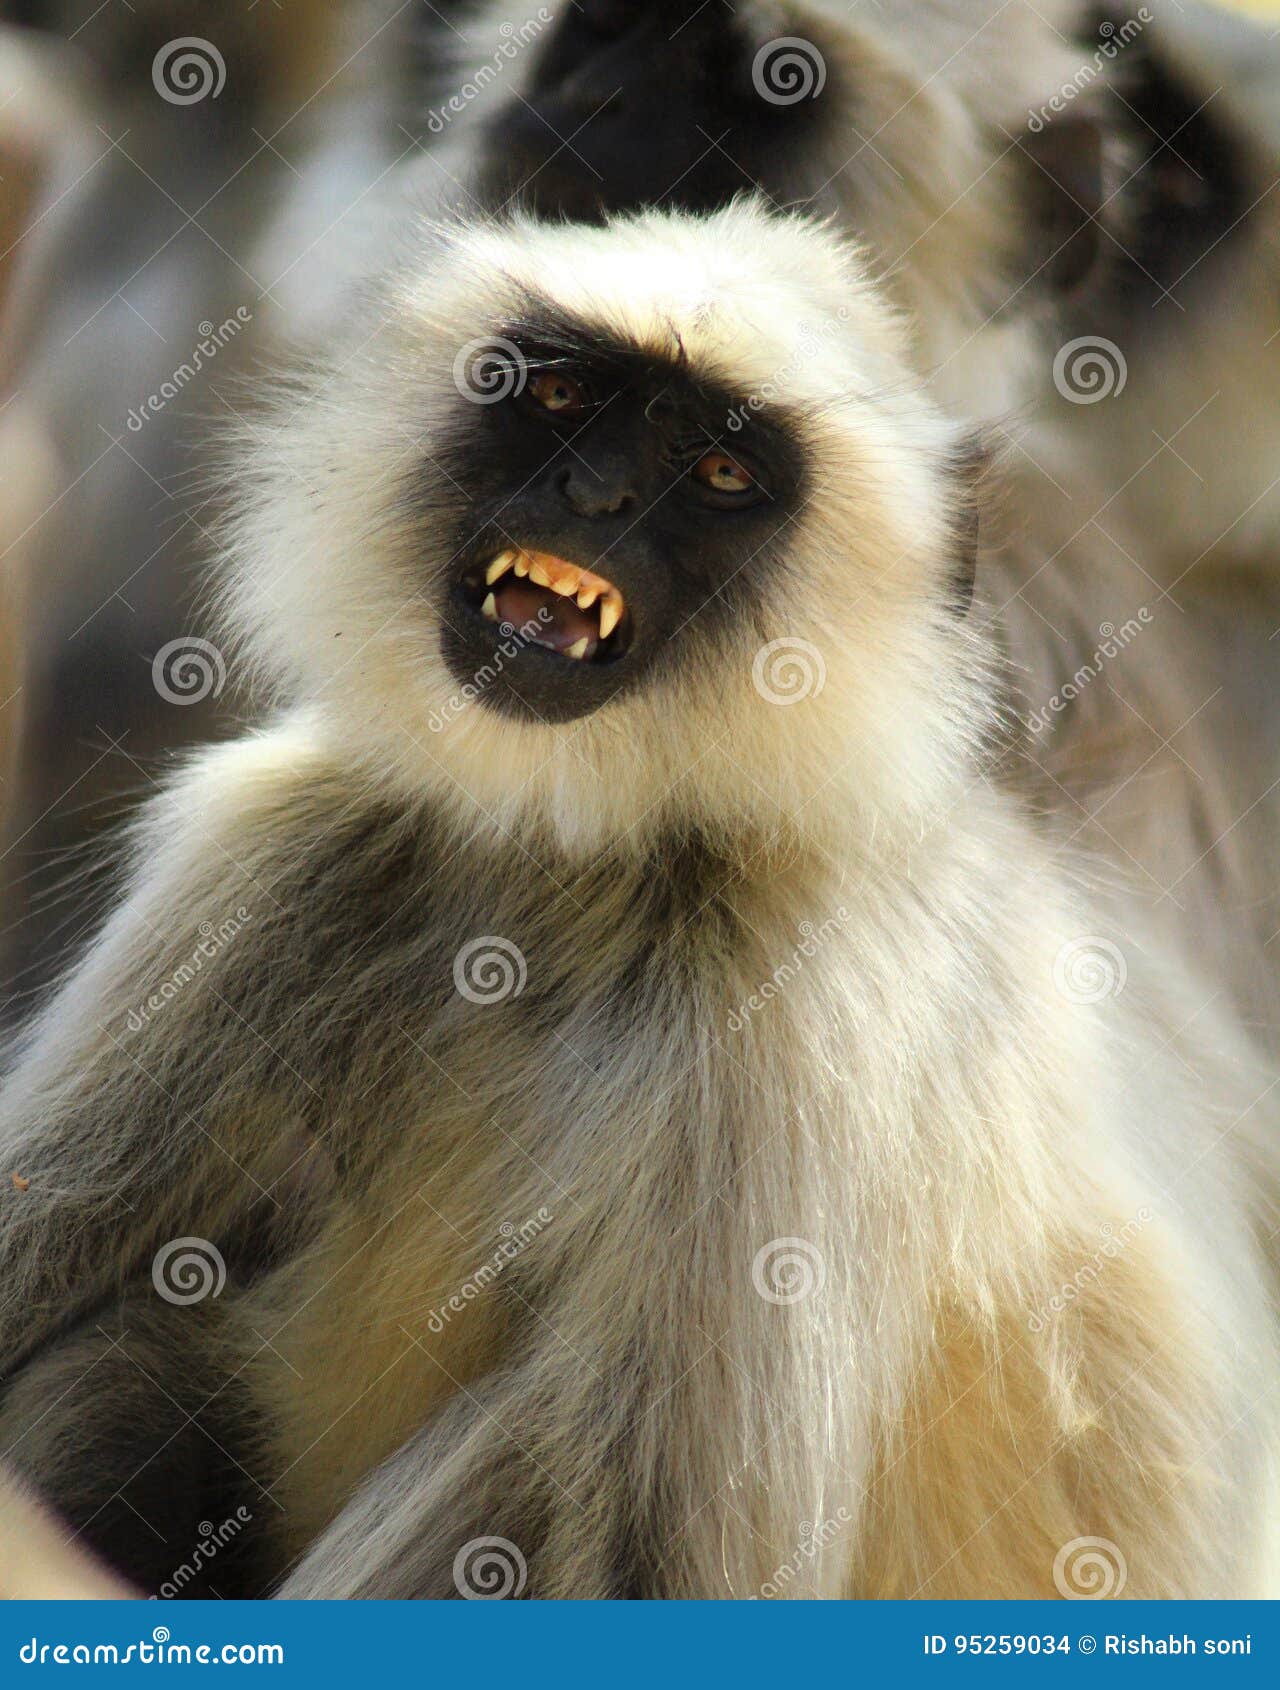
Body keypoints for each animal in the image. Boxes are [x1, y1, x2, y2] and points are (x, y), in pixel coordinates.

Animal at [0, 200, 1277, 1599]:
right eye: (560, 395)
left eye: (717, 472)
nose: (593, 492)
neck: (599, 868)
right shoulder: (287, 844)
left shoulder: (797, 1024)